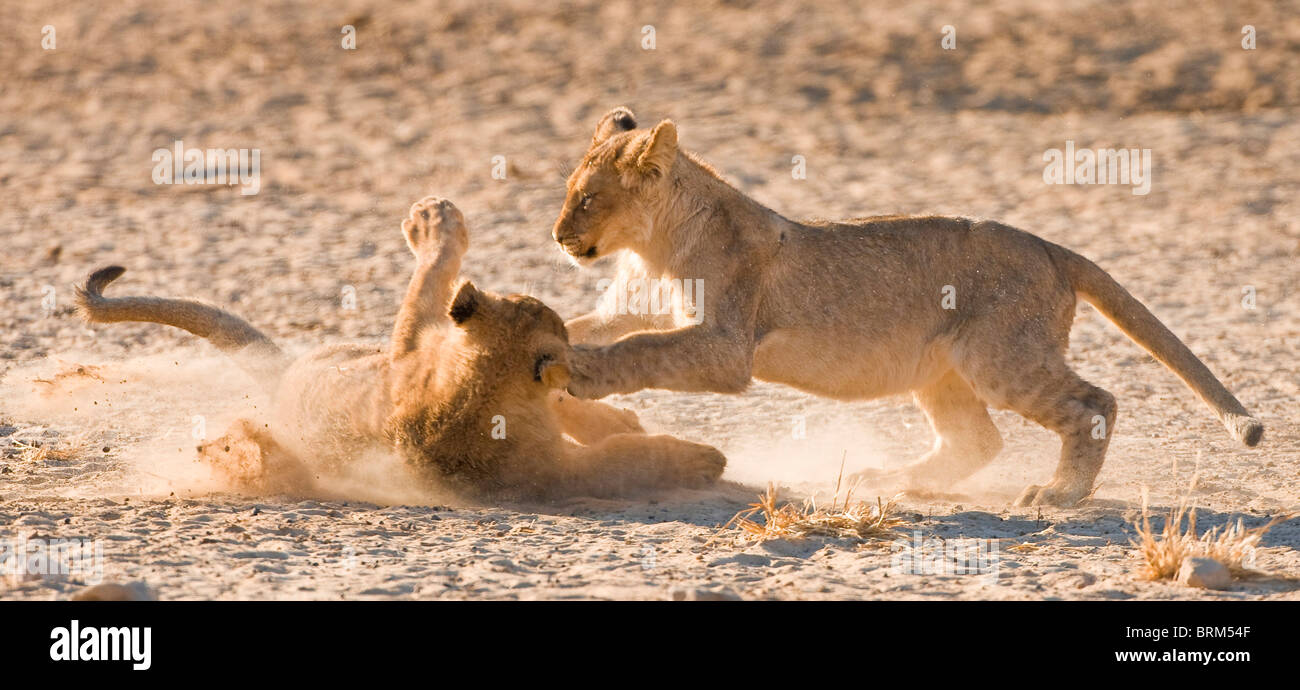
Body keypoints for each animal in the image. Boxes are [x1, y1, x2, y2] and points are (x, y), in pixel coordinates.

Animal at [74, 196, 725, 499]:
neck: (474, 384)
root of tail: (283, 377)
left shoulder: (410, 347)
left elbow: (425, 290)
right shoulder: (555, 472)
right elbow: (625, 461)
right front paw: (702, 460)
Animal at [550, 107, 1263, 507]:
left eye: (587, 198)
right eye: (568, 193)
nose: (557, 236)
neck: (650, 246)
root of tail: (1051, 246)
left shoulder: (726, 346)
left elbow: (642, 349)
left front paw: (581, 374)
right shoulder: (627, 308)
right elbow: (590, 327)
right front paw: (552, 347)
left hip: (1000, 357)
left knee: (1094, 403)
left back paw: (1060, 493)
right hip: (943, 369)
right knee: (979, 438)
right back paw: (890, 481)